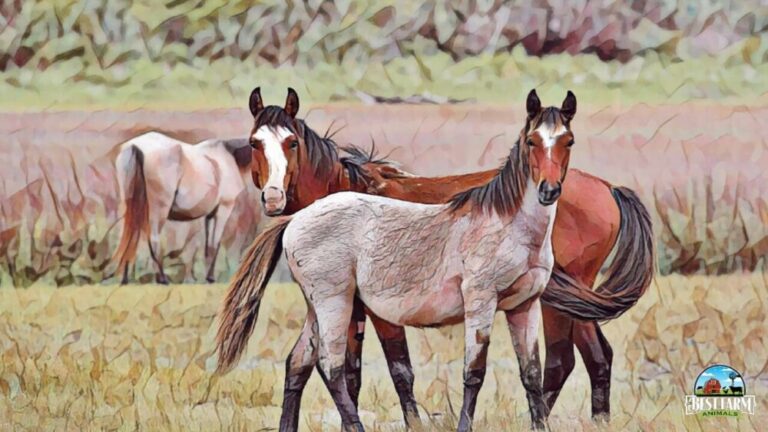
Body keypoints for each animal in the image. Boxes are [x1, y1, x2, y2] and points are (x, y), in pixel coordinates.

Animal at [113, 131, 252, 284]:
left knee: (127, 236)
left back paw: (124, 279)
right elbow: (215, 243)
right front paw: (210, 277)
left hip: (129, 206)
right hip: (158, 210)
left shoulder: (210, 214)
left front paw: (207, 277)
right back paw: (162, 278)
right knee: (153, 239)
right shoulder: (223, 209)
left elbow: (208, 246)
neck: (230, 155)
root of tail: (136, 145)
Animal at [224, 87, 654, 424]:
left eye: (292, 142)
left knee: (570, 361)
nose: (274, 199)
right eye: (254, 143)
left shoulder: (384, 312)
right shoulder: (366, 308)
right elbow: (366, 372)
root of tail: (607, 187)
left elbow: (401, 371)